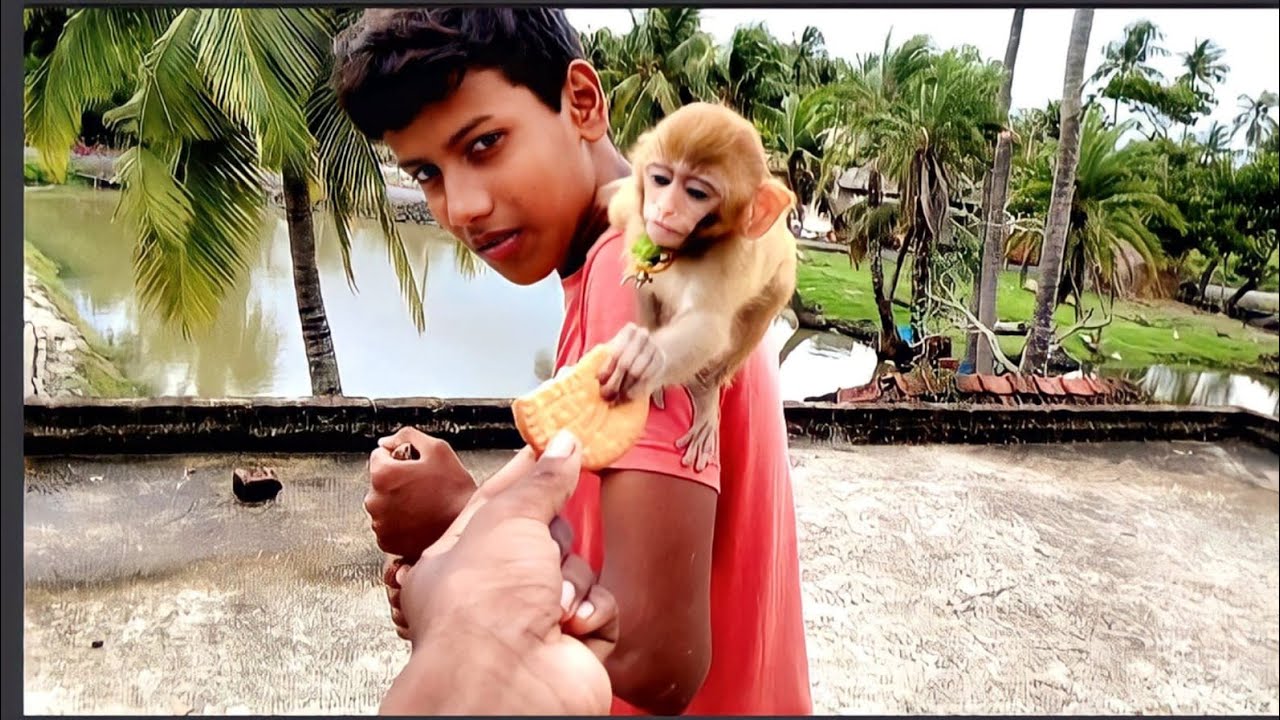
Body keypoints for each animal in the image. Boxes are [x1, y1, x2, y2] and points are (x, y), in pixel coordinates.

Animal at [597, 101, 798, 472]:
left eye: (696, 193)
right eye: (661, 180)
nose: (665, 209)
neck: (684, 251)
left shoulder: (724, 263)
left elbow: (706, 326)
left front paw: (648, 357)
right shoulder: (634, 216)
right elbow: (642, 281)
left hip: (781, 275)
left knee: (760, 311)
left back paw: (705, 393)